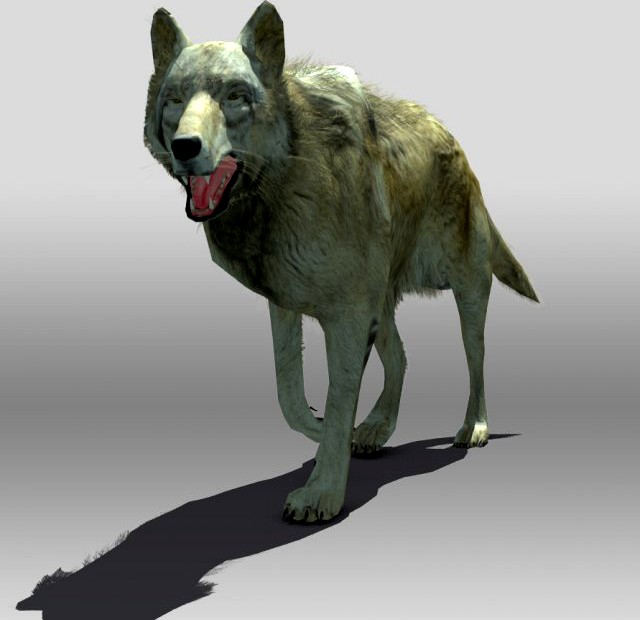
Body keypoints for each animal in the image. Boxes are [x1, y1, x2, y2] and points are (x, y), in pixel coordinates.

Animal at [143, 2, 539, 522]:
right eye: (174, 100)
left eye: (235, 96)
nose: (185, 147)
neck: (282, 183)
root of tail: (449, 135)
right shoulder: (287, 305)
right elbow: (289, 396)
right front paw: (332, 435)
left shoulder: (348, 317)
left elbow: (336, 396)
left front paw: (323, 490)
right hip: (380, 300)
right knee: (402, 356)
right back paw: (376, 427)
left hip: (465, 292)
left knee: (476, 358)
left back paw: (473, 426)